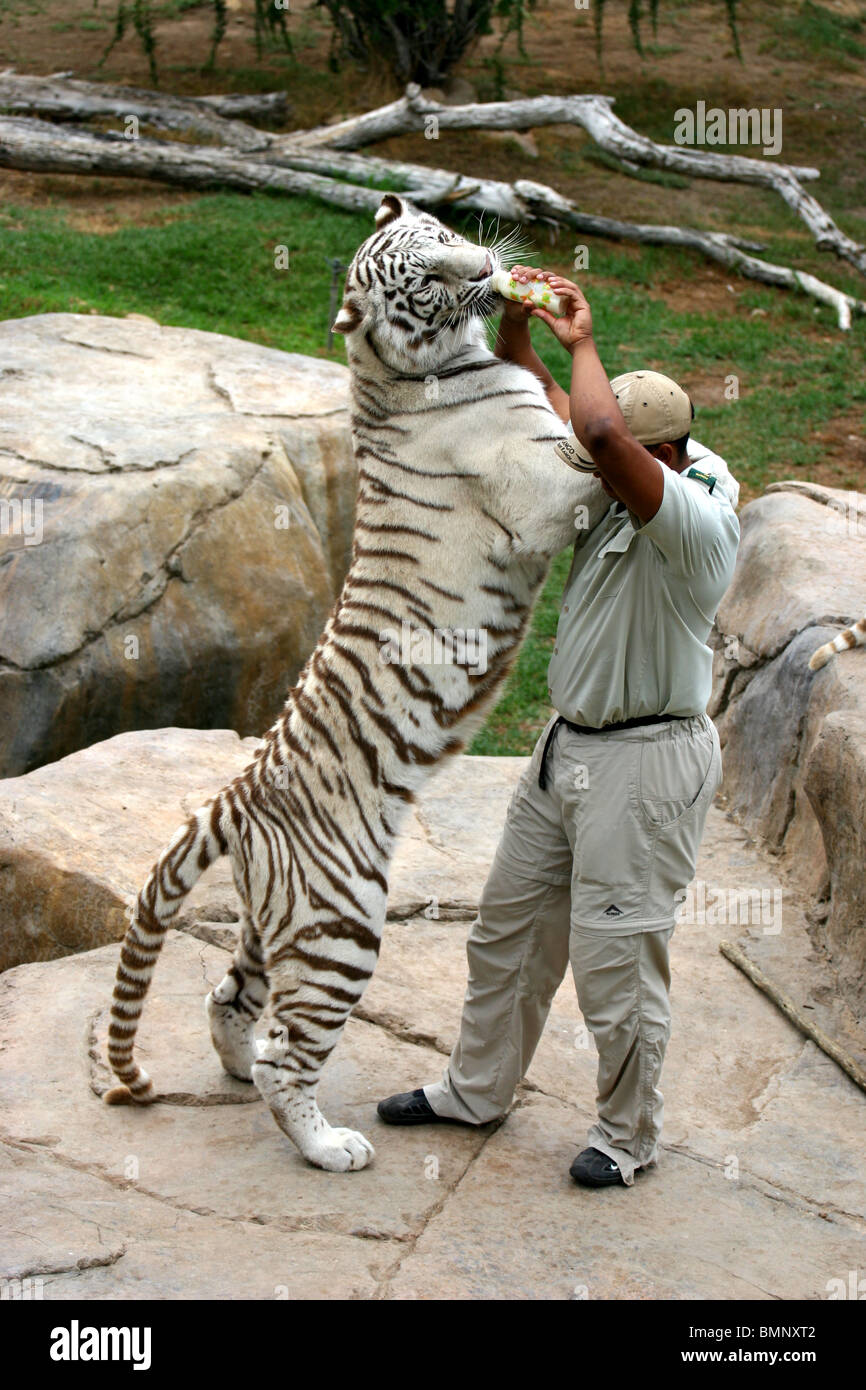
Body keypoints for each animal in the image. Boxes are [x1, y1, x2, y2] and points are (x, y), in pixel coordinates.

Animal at [104, 192, 608, 1172]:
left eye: (444, 239)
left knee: (232, 1001)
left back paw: (232, 1071)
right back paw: (328, 1146)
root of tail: (235, 799)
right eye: (427, 284)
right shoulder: (540, 488)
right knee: (286, 1057)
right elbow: (599, 452)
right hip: (343, 923)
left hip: (277, 923)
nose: (487, 272)